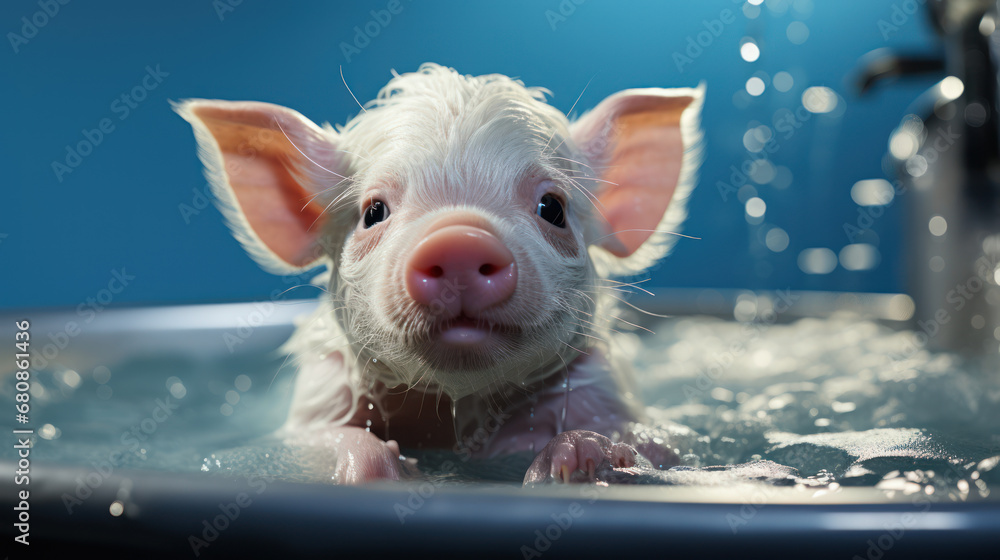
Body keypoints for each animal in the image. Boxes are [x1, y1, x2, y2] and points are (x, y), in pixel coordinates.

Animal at [175, 63, 703, 485]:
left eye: (553, 207)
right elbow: (312, 444)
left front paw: (577, 461)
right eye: (372, 212)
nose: (461, 239)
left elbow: (650, 443)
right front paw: (386, 472)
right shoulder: (309, 405)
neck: (451, 414)